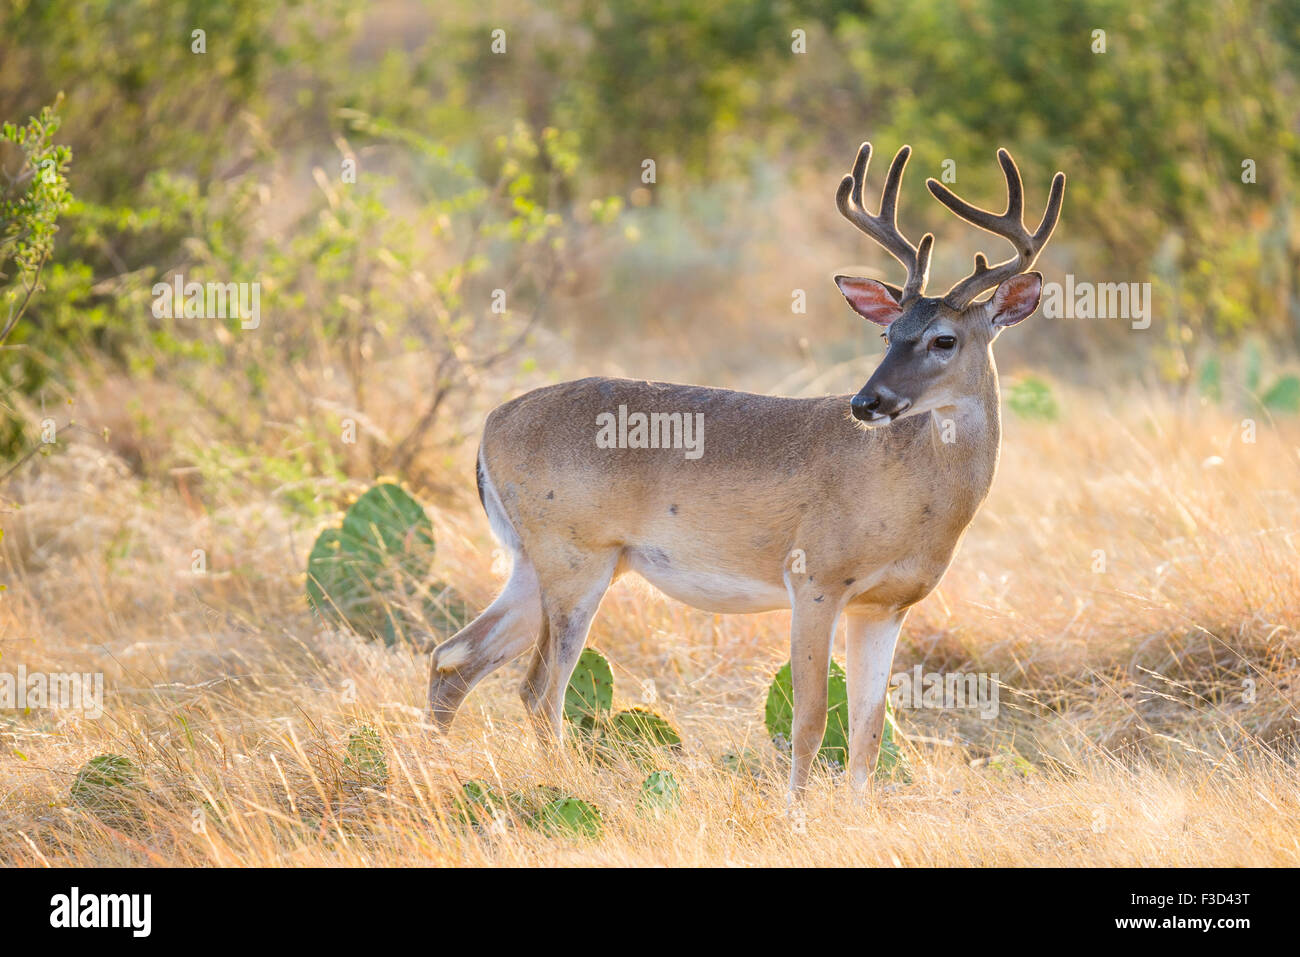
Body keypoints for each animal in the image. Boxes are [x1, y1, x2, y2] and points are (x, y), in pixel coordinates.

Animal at [427, 140, 1065, 796]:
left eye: (943, 339)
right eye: (888, 332)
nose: (865, 402)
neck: (914, 498)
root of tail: (491, 424)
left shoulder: (886, 606)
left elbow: (868, 732)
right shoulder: (814, 578)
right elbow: (812, 720)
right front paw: (797, 813)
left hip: (539, 560)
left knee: (455, 657)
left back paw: (438, 765)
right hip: (575, 555)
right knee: (537, 689)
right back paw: (563, 787)